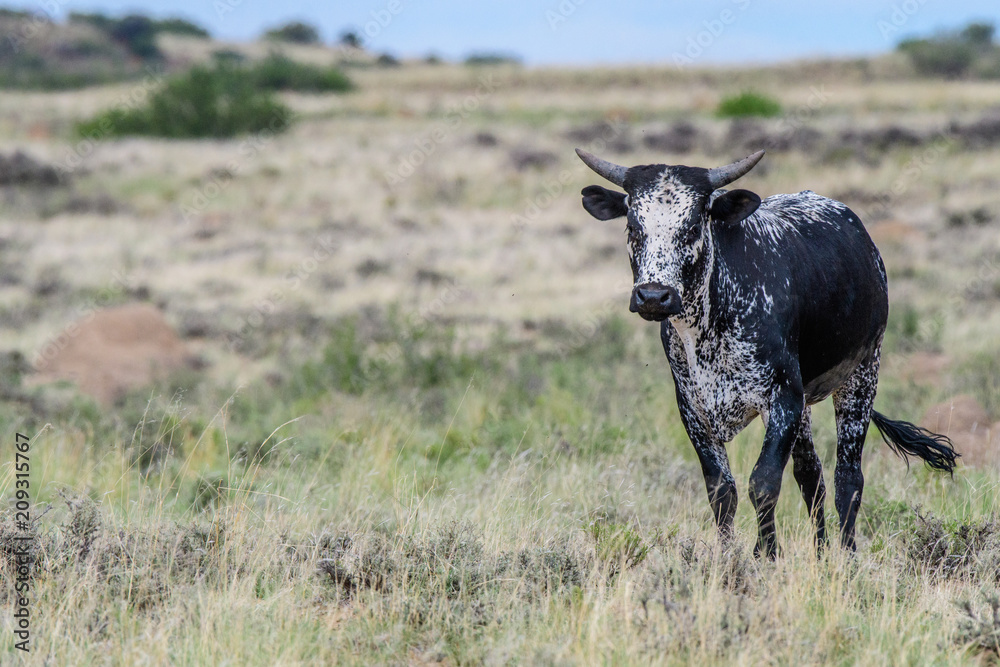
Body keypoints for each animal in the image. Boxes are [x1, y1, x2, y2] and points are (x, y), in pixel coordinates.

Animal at [576, 148, 958, 558]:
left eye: (693, 227)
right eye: (633, 227)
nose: (653, 296)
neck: (711, 323)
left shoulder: (782, 397)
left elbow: (763, 482)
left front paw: (767, 555)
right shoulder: (693, 408)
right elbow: (721, 490)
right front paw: (729, 558)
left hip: (862, 374)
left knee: (848, 477)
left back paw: (847, 555)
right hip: (806, 403)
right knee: (811, 475)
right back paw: (820, 553)